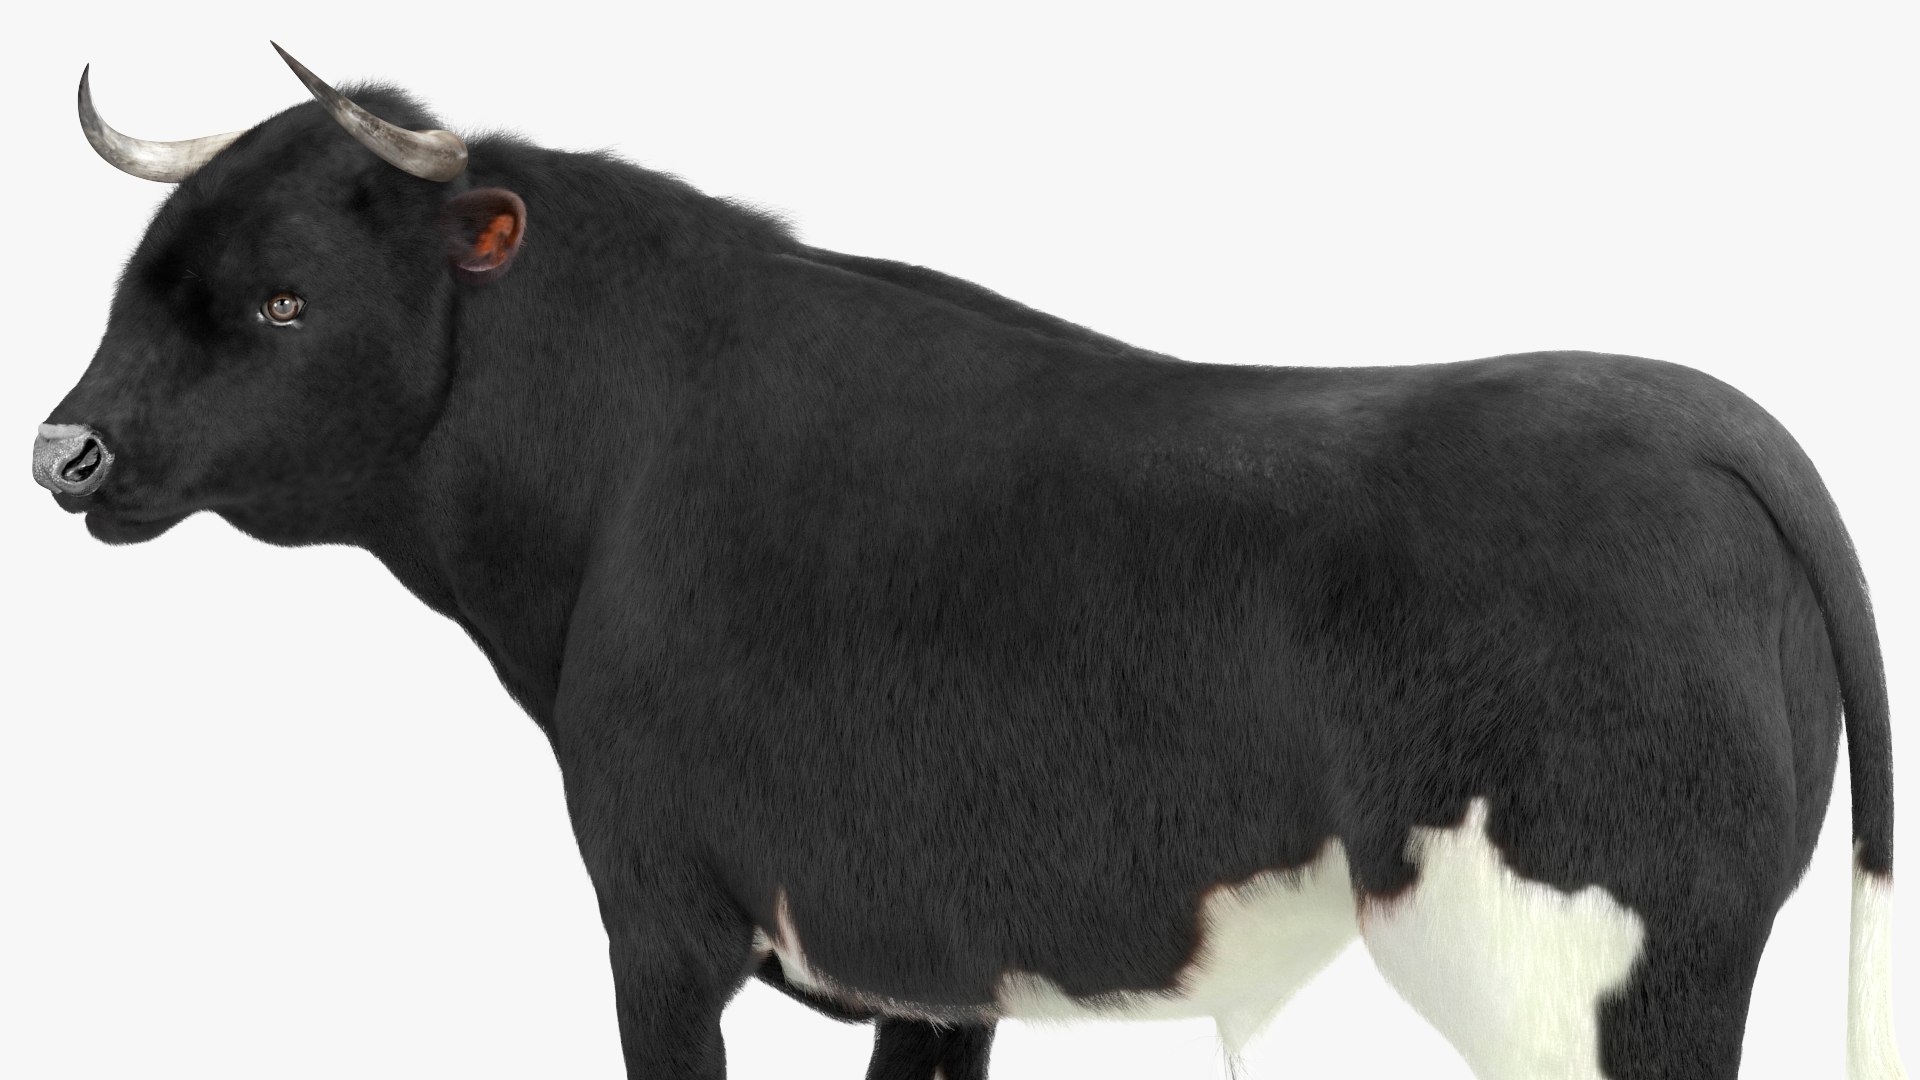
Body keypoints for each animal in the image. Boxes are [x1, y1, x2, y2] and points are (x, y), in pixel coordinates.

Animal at [33, 44, 1907, 1080]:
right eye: (147, 276)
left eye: (283, 298)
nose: (65, 452)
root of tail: (1709, 416)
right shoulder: (928, 966)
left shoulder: (660, 918)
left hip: (1579, 966)